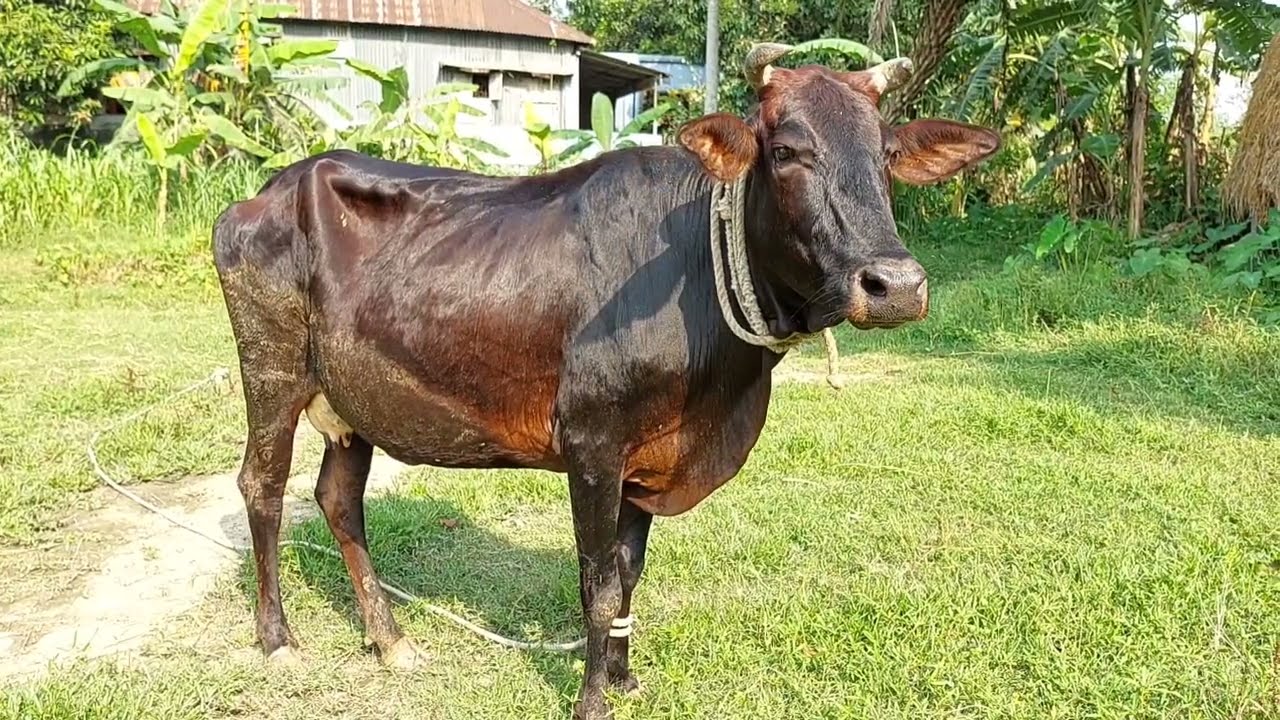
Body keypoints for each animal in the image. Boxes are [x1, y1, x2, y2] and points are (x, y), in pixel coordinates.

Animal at [212, 42, 999, 719]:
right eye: (786, 152)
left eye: (886, 155)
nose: (895, 286)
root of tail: (269, 190)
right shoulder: (591, 444)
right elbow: (596, 583)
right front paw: (591, 701)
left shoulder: (647, 460)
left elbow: (629, 573)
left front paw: (623, 678)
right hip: (271, 371)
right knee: (263, 486)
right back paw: (278, 639)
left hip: (353, 406)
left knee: (338, 501)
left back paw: (391, 641)